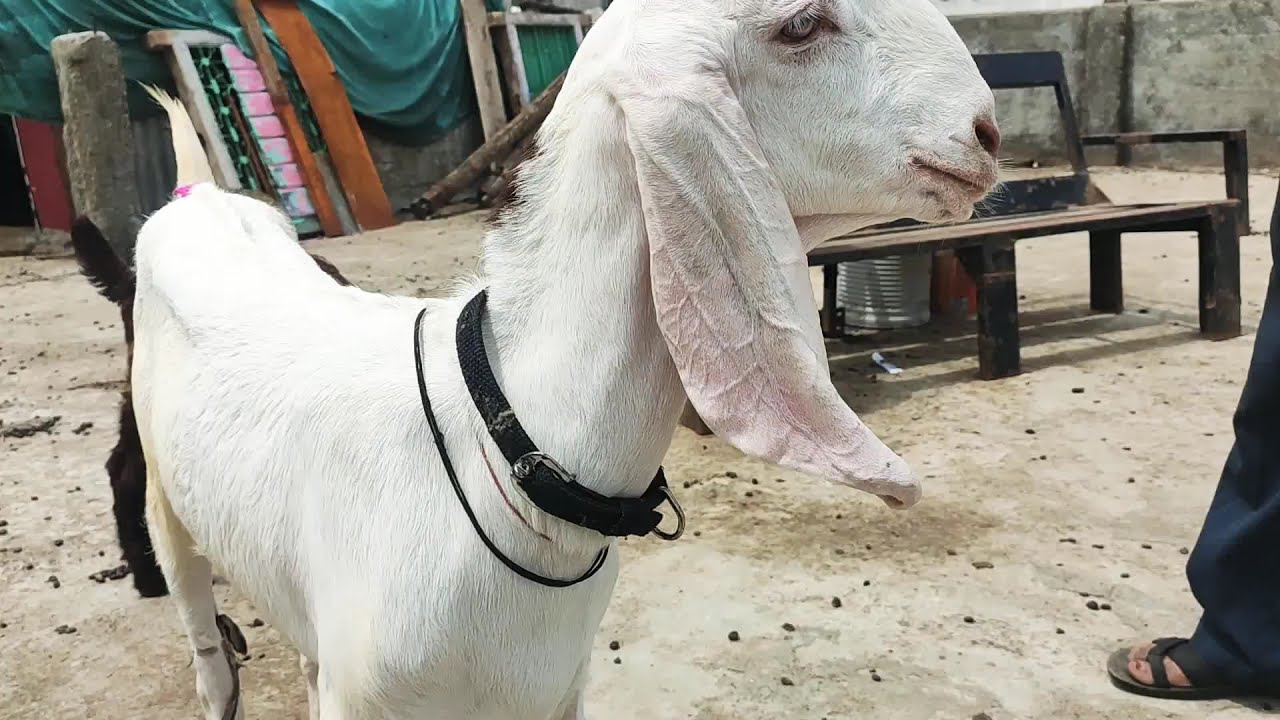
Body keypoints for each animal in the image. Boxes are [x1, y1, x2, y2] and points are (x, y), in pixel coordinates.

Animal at [131, 0, 1001, 716]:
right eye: (800, 26)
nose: (987, 133)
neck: (504, 443)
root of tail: (197, 196)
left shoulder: (554, 693)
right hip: (162, 500)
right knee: (207, 649)